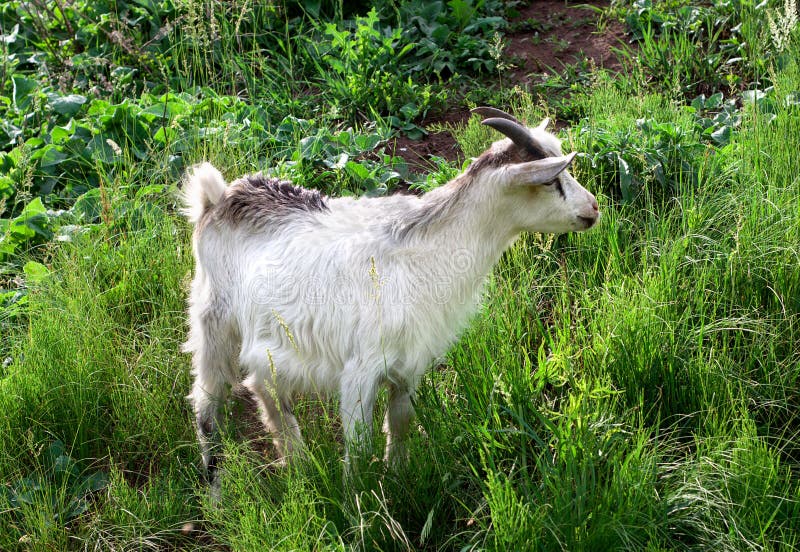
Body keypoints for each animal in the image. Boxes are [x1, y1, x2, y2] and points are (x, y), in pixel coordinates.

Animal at [182, 108, 599, 480]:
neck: (426, 251)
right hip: (213, 322)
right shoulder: (360, 371)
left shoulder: (408, 365)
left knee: (265, 391)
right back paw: (216, 489)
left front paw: (398, 475)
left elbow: (400, 423)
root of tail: (218, 200)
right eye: (550, 181)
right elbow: (358, 447)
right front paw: (360, 504)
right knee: (207, 403)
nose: (593, 208)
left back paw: (296, 463)